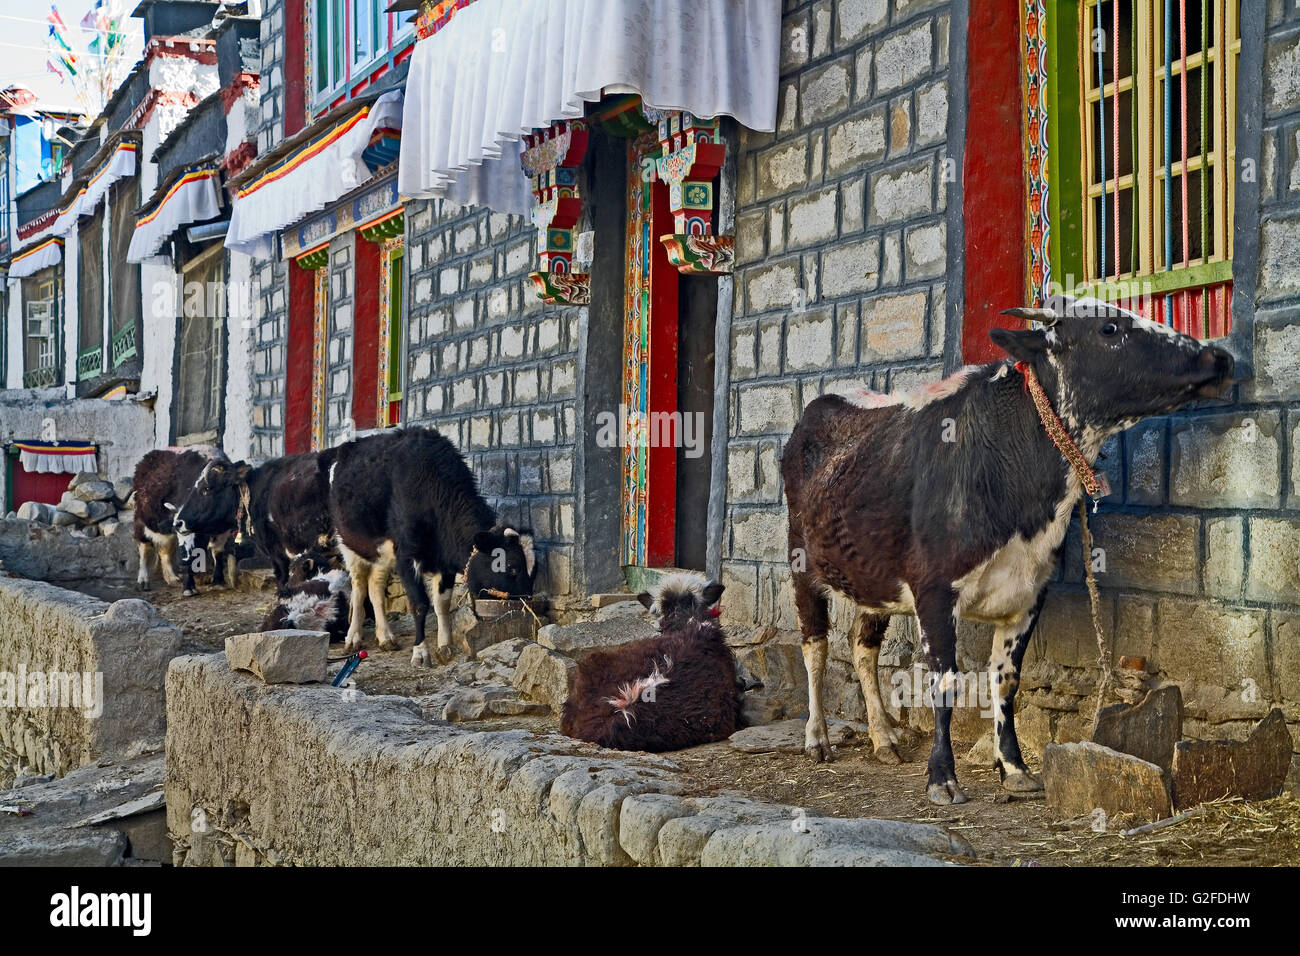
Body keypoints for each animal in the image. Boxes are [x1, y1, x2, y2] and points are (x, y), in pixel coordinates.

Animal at [131, 448, 236, 595]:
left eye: (207, 489)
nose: (185, 562)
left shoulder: (223, 530)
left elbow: (217, 552)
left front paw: (217, 582)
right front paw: (188, 588)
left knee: (164, 550)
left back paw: (173, 579)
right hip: (142, 522)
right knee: (144, 548)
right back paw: (143, 581)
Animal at [326, 426, 536, 666]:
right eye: (512, 567)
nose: (527, 601)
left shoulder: (443, 561)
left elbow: (442, 604)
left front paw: (445, 646)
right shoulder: (406, 557)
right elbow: (419, 604)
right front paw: (420, 652)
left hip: (381, 555)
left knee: (375, 588)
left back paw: (386, 636)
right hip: (349, 545)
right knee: (359, 588)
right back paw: (353, 637)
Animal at [782, 296, 1235, 805]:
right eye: (1110, 328)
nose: (1220, 357)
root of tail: (827, 402)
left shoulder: (1029, 594)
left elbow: (1005, 682)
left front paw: (1015, 768)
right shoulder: (934, 590)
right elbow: (945, 682)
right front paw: (942, 777)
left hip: (870, 575)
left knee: (862, 647)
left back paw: (882, 738)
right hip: (802, 563)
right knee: (815, 645)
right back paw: (817, 738)